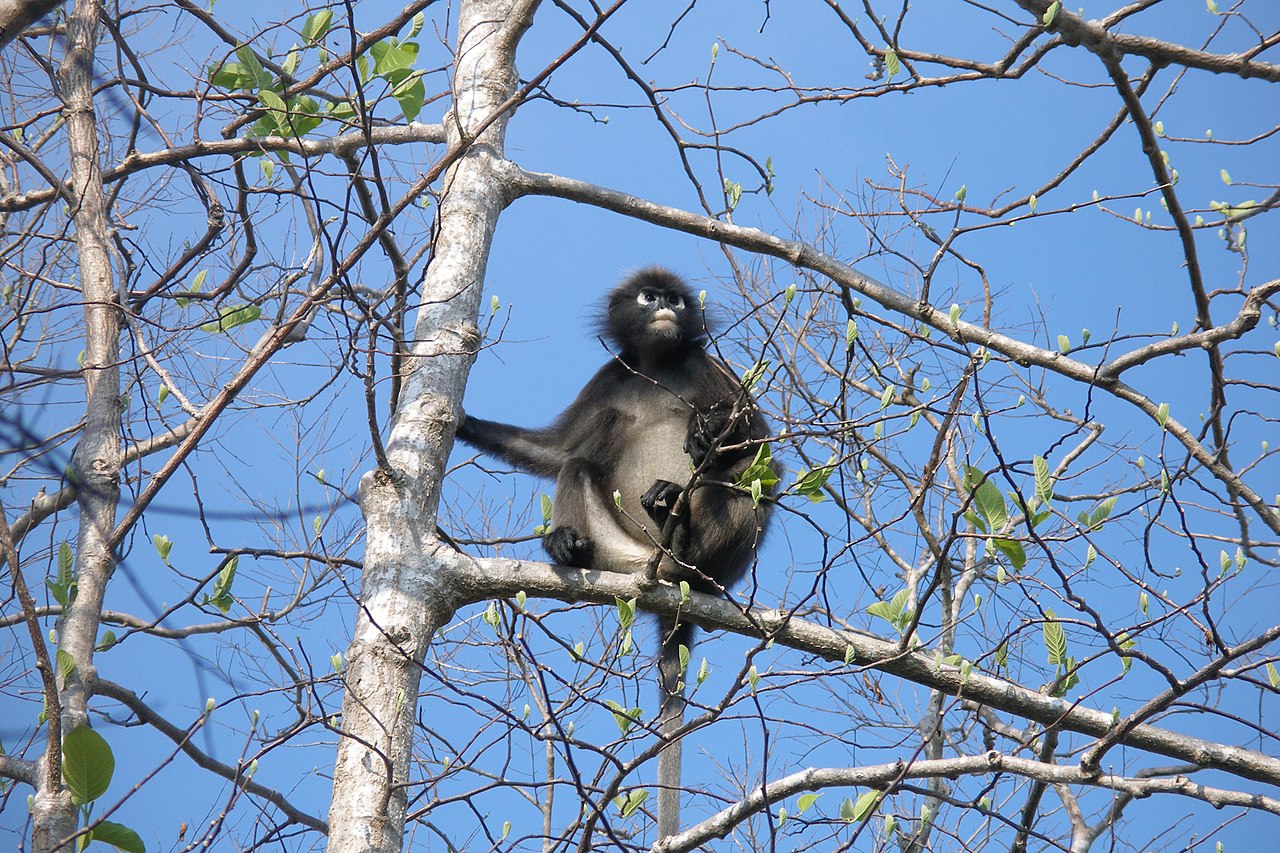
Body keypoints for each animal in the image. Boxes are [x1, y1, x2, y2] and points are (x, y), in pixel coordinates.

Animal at [455, 267, 774, 838]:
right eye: (650, 297)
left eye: (675, 299)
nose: (666, 306)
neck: (658, 364)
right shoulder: (611, 375)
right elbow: (557, 453)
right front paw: (461, 421)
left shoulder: (707, 366)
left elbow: (759, 448)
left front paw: (708, 437)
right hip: (619, 552)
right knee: (579, 463)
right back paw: (569, 547)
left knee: (743, 477)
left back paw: (685, 537)